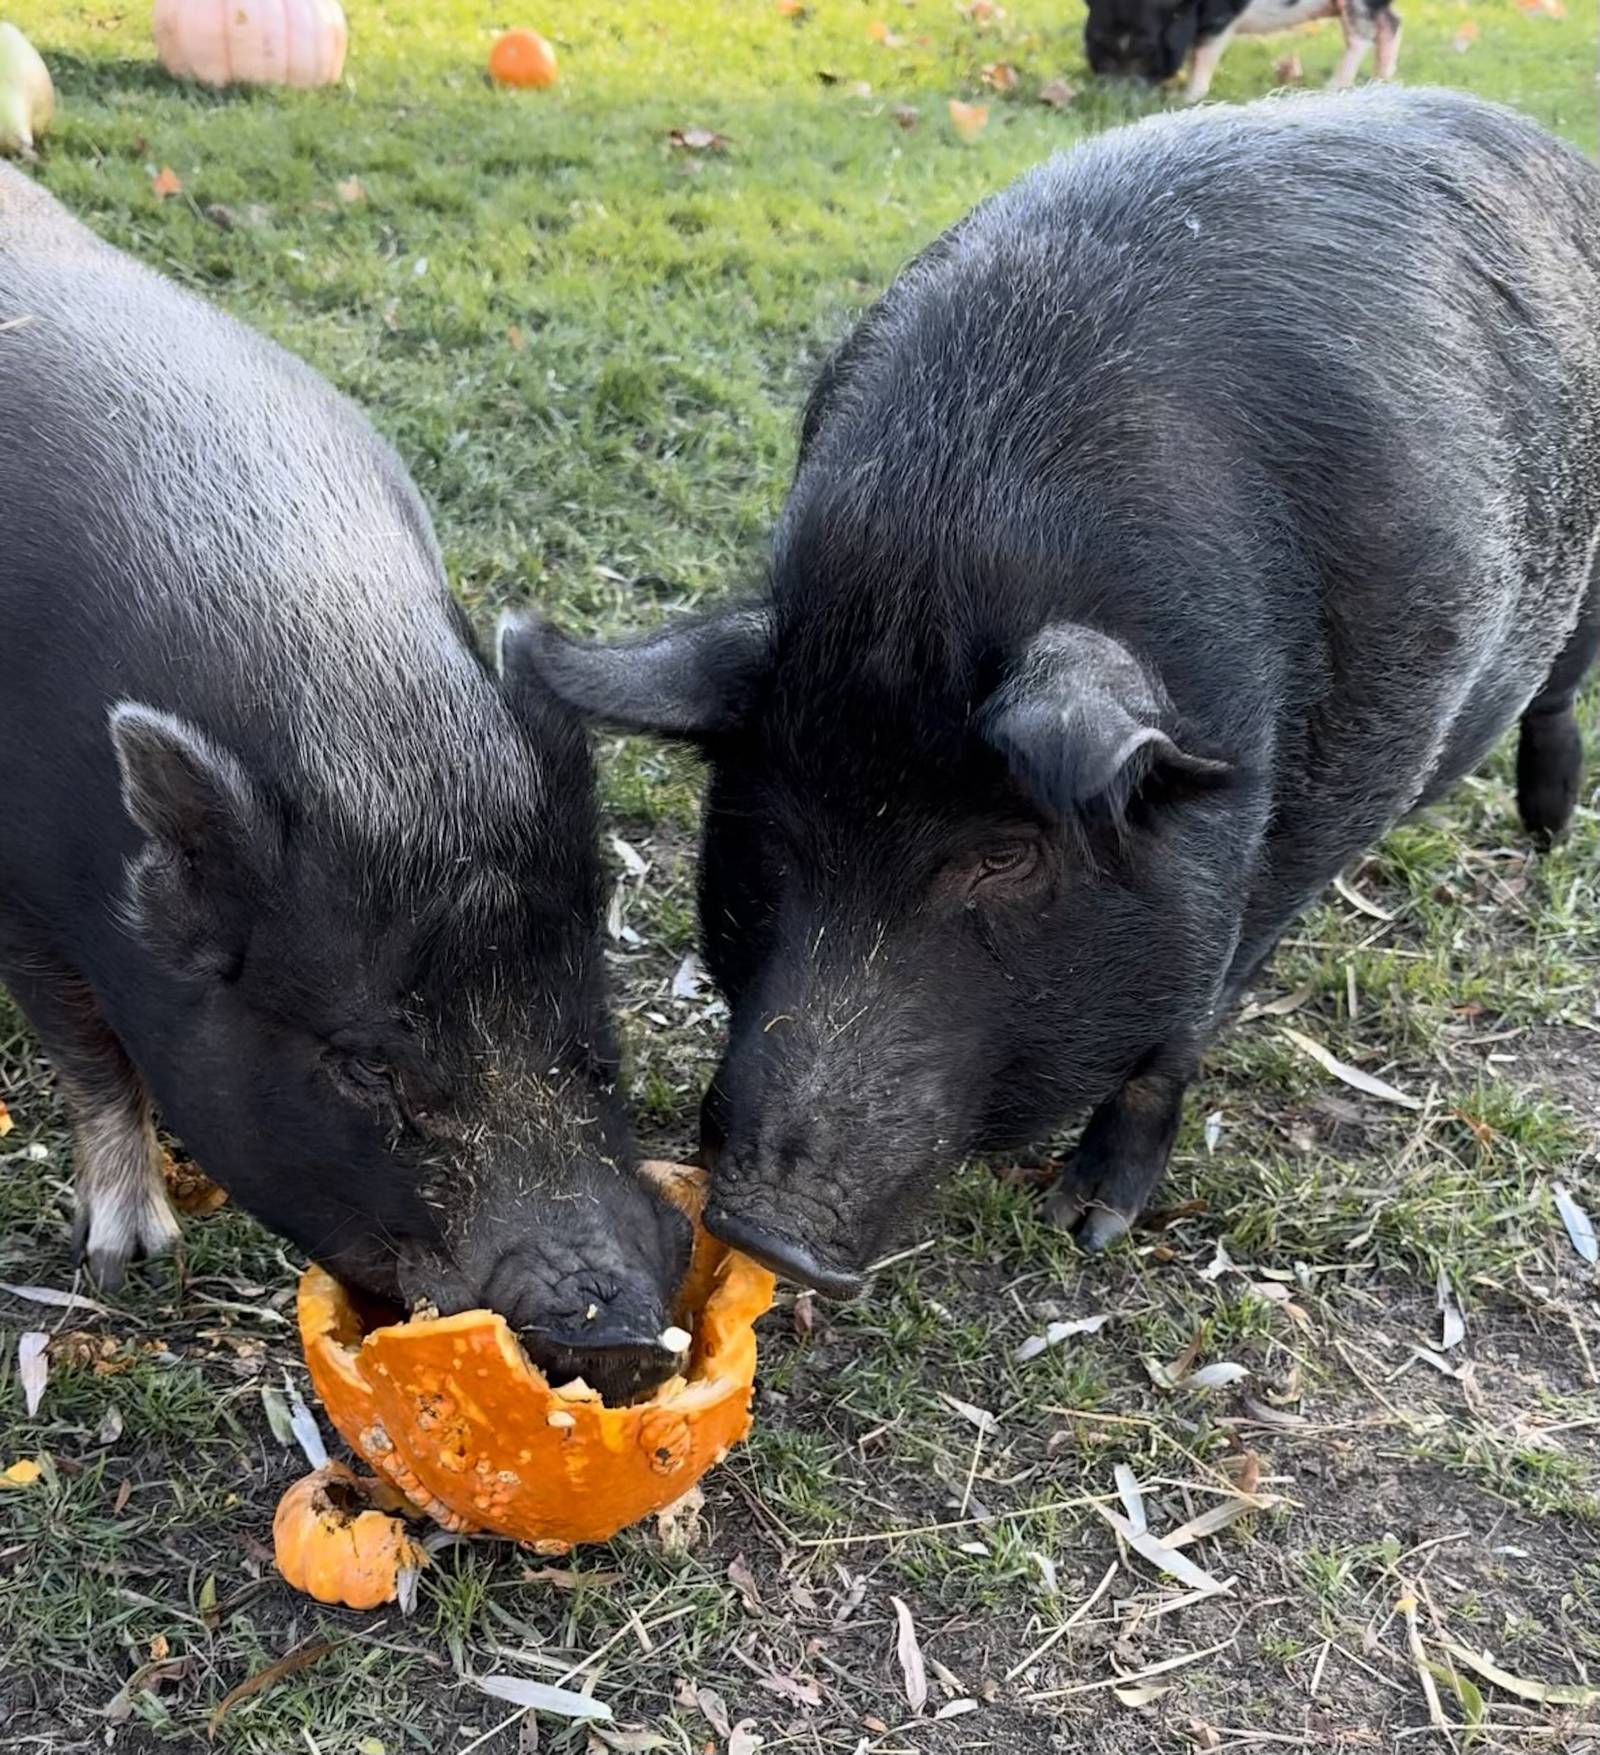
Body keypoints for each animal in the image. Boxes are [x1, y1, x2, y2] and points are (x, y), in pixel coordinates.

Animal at [0, 164, 687, 1400]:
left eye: (592, 1037)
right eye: (367, 1065)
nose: (612, 1325)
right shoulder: (23, 898)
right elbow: (89, 1052)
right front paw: (130, 1258)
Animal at [505, 88, 1600, 1296]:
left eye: (1005, 855)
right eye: (773, 835)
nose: (765, 1230)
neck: (947, 546)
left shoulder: (1310, 827)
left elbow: (1184, 1024)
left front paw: (1087, 1226)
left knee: (1557, 695)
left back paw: (1547, 831)